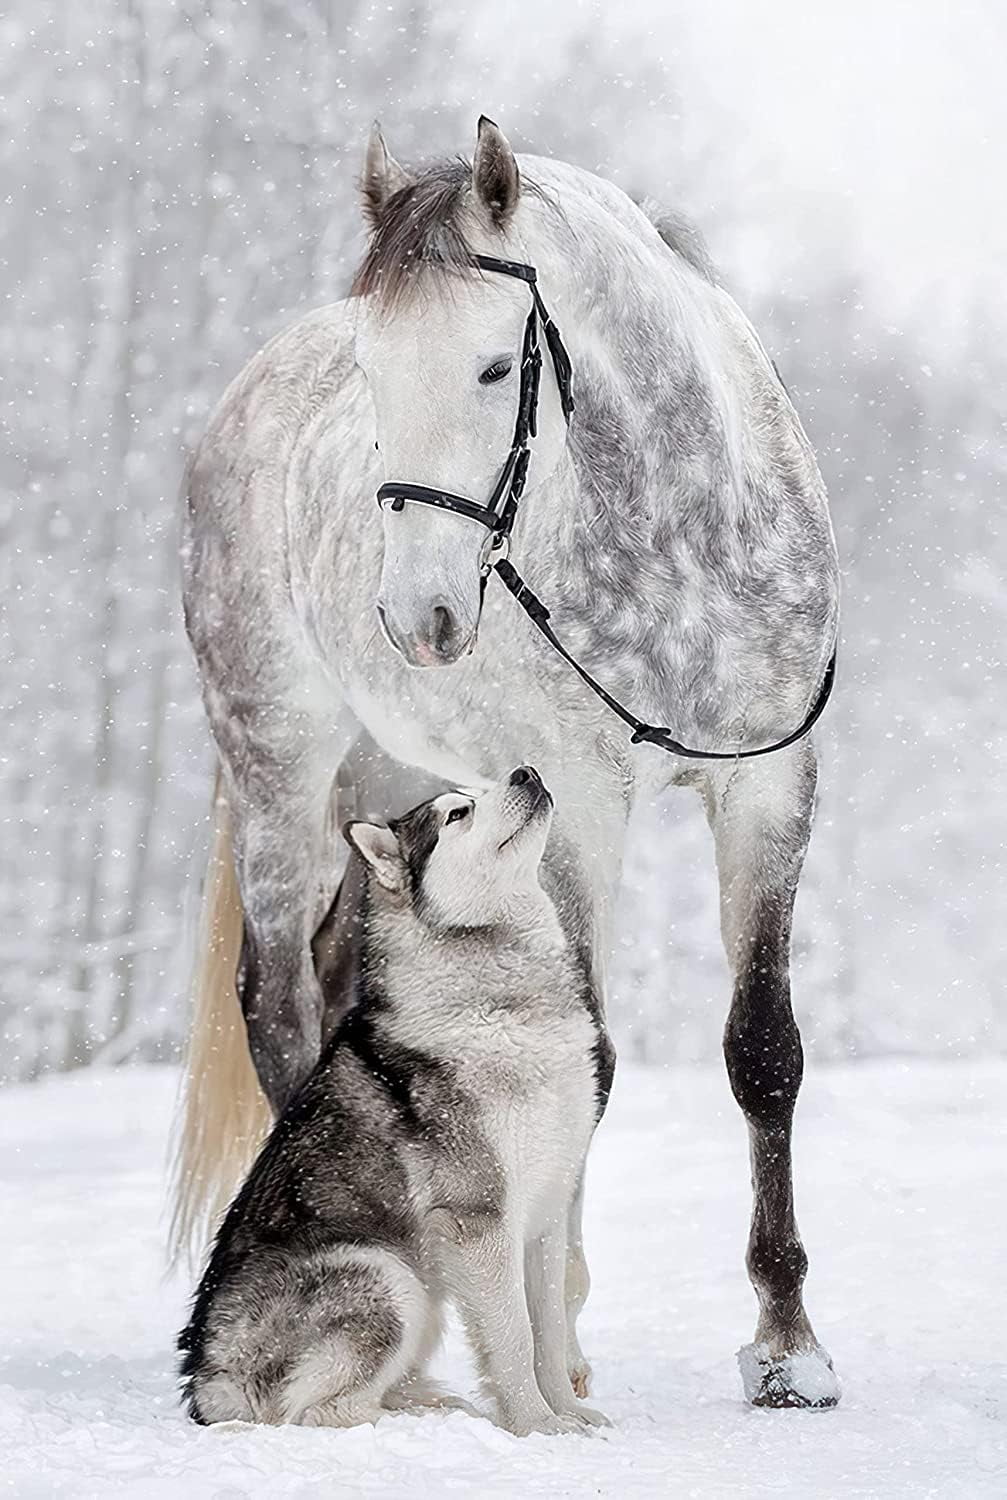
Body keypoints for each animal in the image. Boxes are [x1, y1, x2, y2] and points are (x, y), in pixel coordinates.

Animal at [178, 767, 615, 1435]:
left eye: (485, 786)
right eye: (458, 814)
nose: (526, 771)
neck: (503, 1006)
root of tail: (207, 1380)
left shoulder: (546, 1208)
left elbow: (547, 1329)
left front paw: (568, 1414)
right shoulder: (480, 1217)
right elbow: (514, 1337)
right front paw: (536, 1427)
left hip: (421, 1292)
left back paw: (429, 1401)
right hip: (389, 1275)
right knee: (315, 1412)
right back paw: (415, 1422)